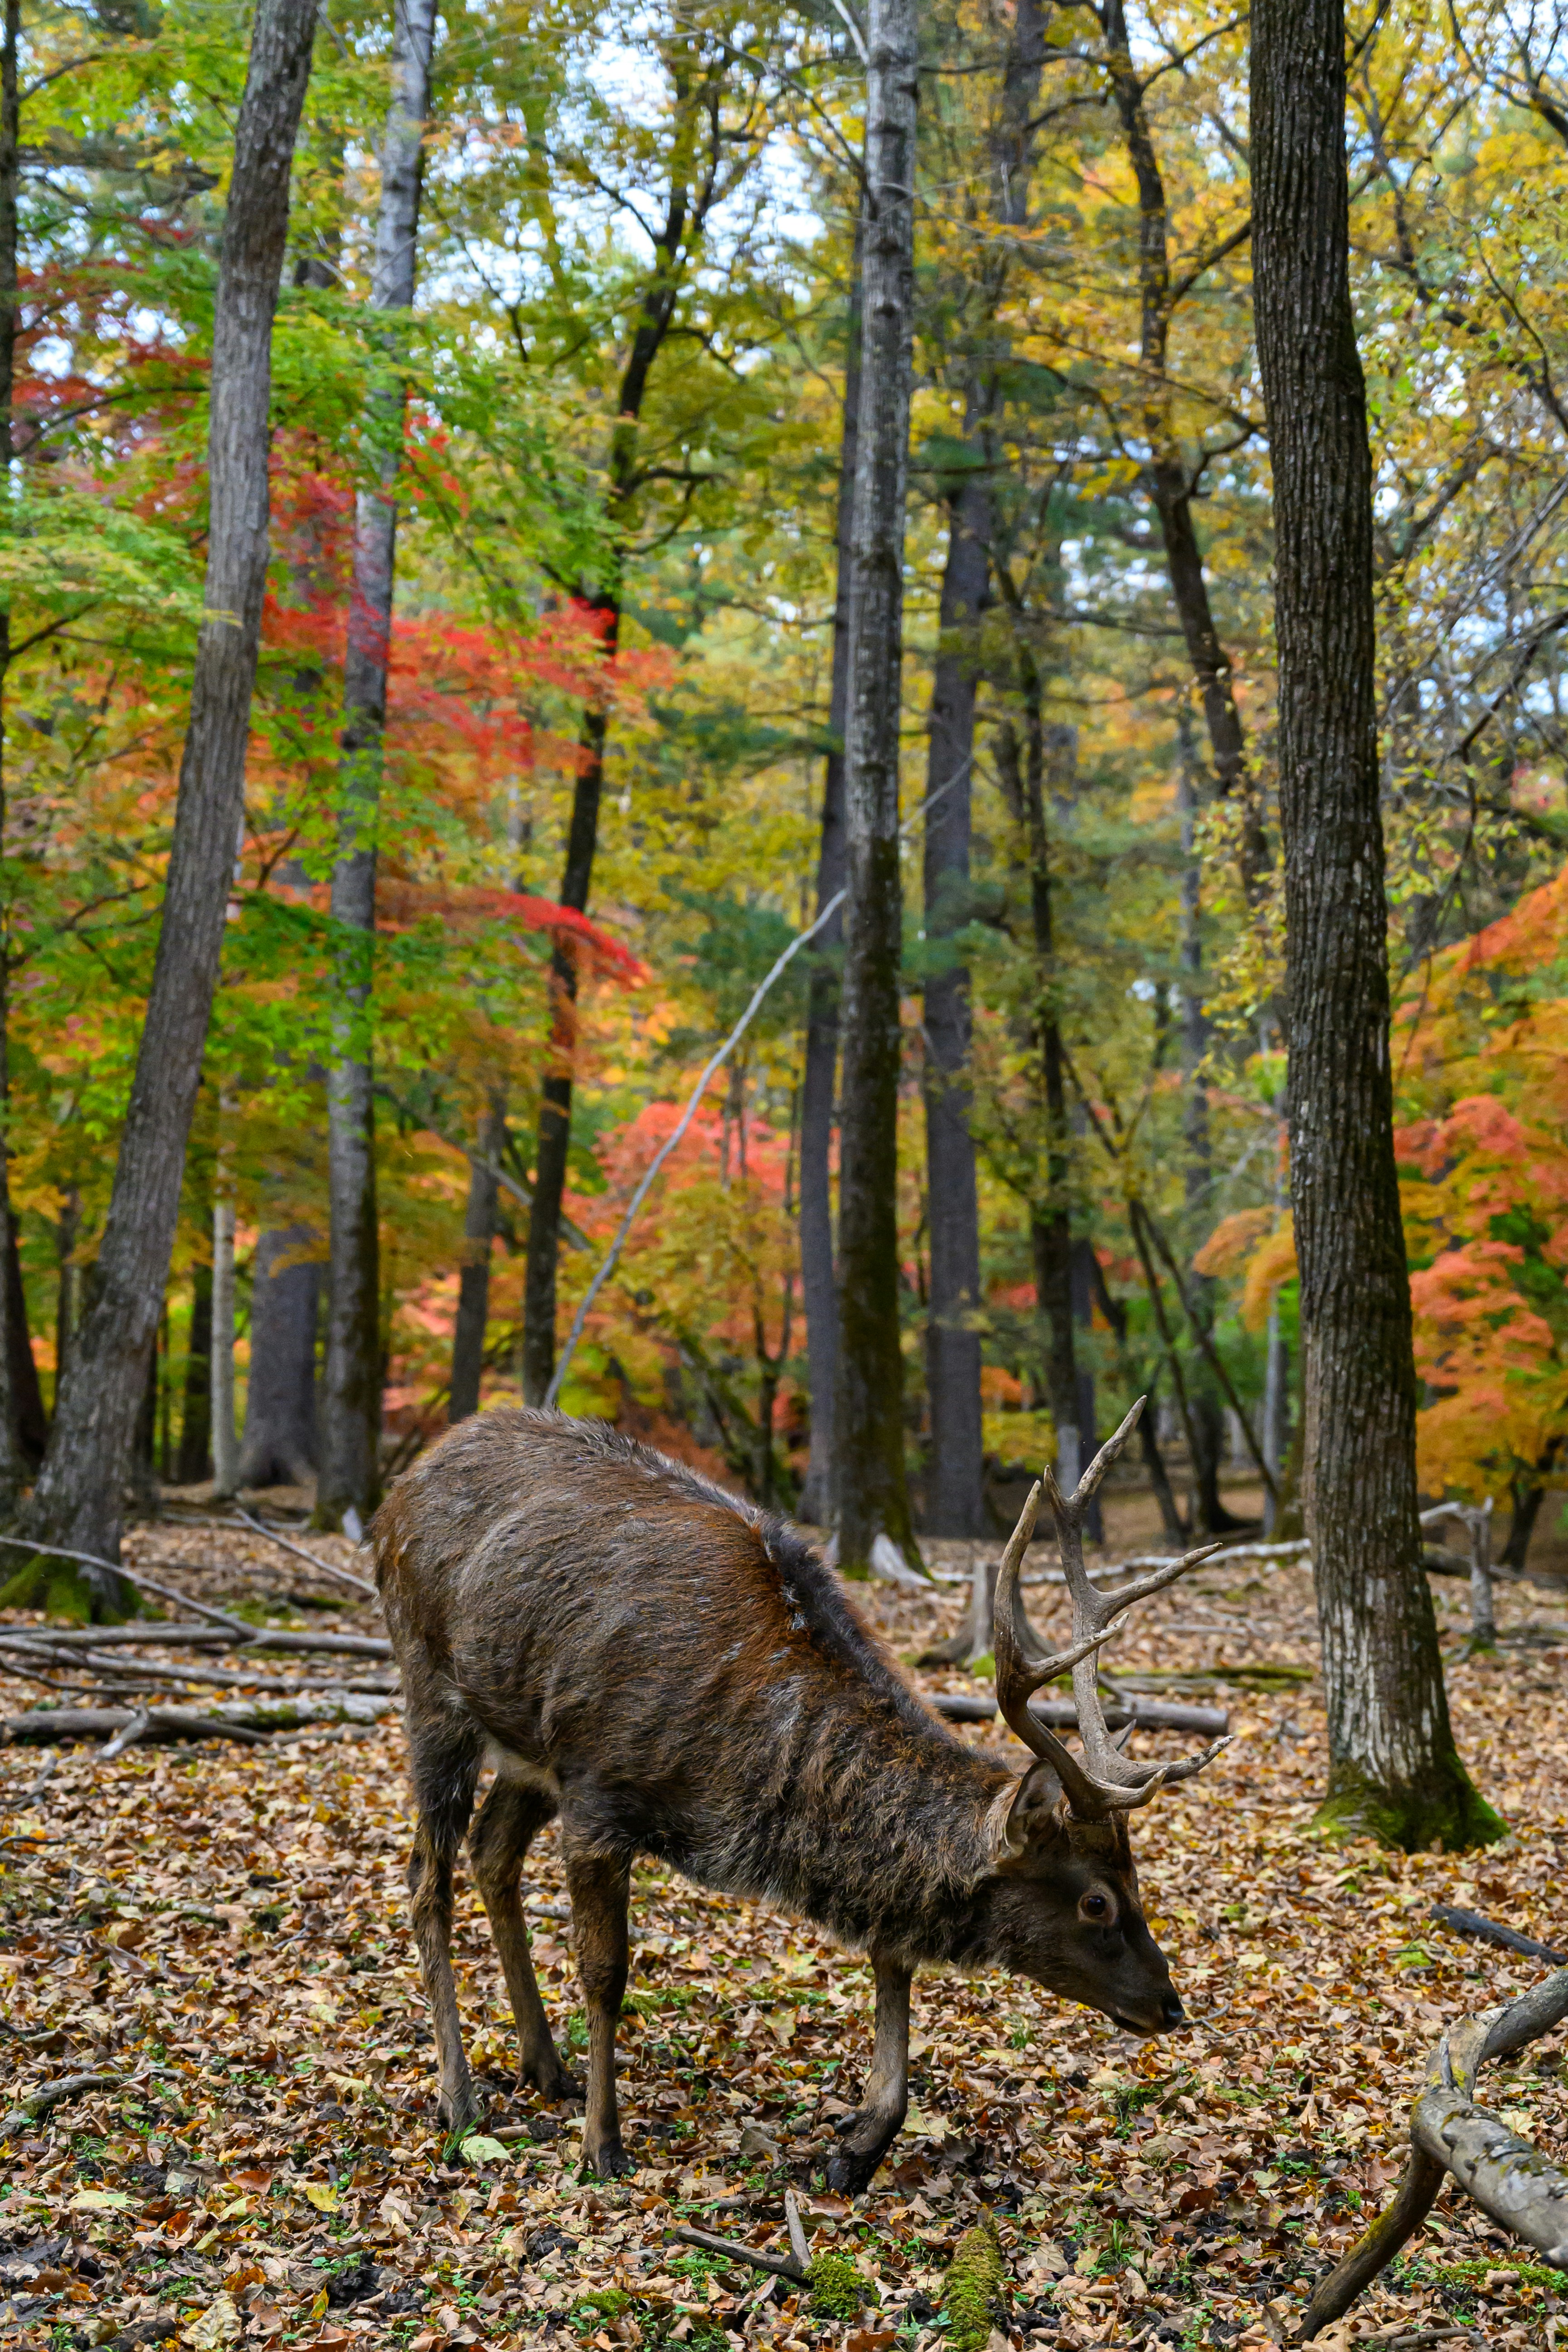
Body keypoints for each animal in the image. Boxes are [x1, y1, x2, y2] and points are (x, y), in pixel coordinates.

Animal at [373, 1397, 1230, 2190]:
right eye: (1094, 1900)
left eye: (1134, 1879)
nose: (1169, 2003)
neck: (743, 1784)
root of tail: (403, 1484)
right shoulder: (596, 1792)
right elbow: (606, 1971)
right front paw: (602, 2145)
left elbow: (892, 1958)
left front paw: (857, 2145)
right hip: (430, 1685)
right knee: (425, 1877)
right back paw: (460, 2099)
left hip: (523, 1748)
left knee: (492, 1852)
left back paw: (543, 2064)